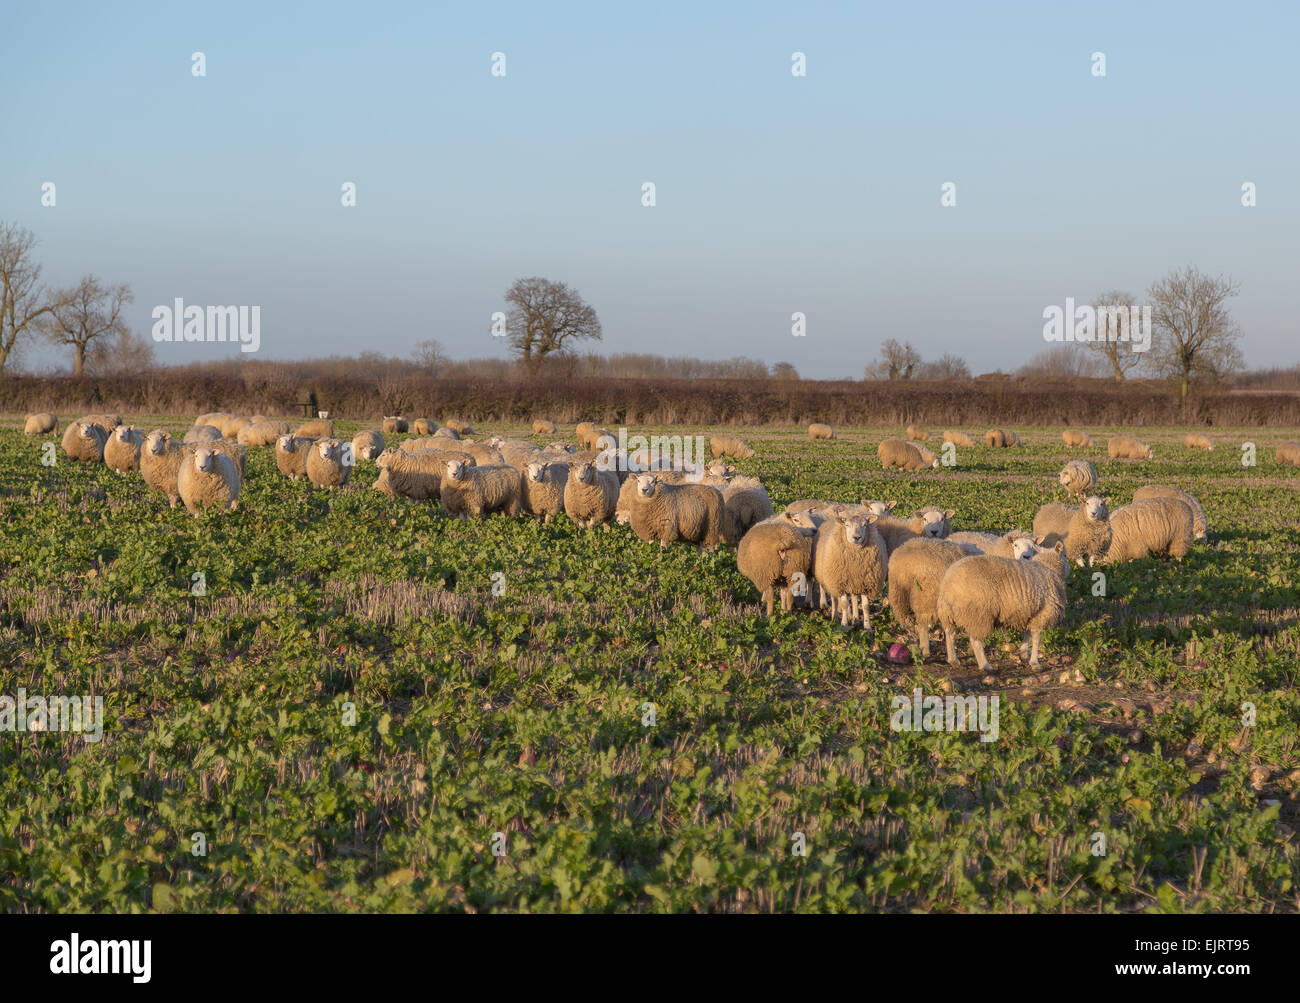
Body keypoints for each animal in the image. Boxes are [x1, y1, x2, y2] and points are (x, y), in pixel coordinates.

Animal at [938, 540, 1069, 670]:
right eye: (1065, 555)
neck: (1049, 568)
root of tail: (949, 583)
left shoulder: (1031, 612)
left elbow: (1027, 633)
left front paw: (1023, 654)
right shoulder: (1043, 612)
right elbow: (1036, 637)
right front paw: (1035, 663)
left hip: (947, 612)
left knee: (950, 633)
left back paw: (953, 660)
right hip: (978, 613)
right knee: (975, 640)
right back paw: (985, 665)